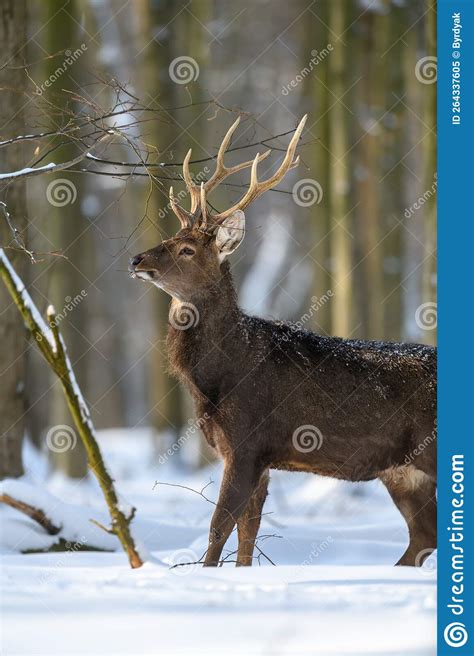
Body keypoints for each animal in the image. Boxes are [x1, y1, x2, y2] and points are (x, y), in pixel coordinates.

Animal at [130, 115, 437, 568]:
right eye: (168, 237)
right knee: (423, 536)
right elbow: (247, 533)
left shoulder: (247, 440)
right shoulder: (256, 455)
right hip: (403, 470)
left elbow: (218, 527)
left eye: (186, 249)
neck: (220, 376)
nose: (137, 260)